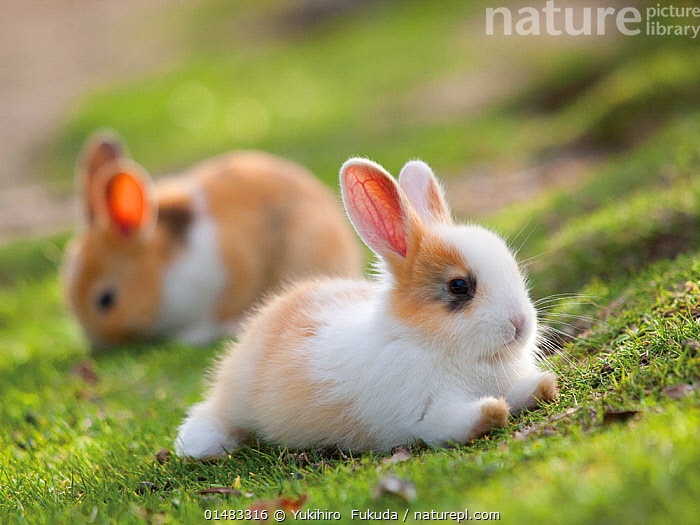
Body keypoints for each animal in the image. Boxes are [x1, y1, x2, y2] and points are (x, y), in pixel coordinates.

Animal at [175, 158, 558, 458]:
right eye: (459, 286)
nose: (520, 323)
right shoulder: (421, 414)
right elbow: (456, 422)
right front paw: (492, 411)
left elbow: (523, 390)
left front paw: (543, 386)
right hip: (235, 405)